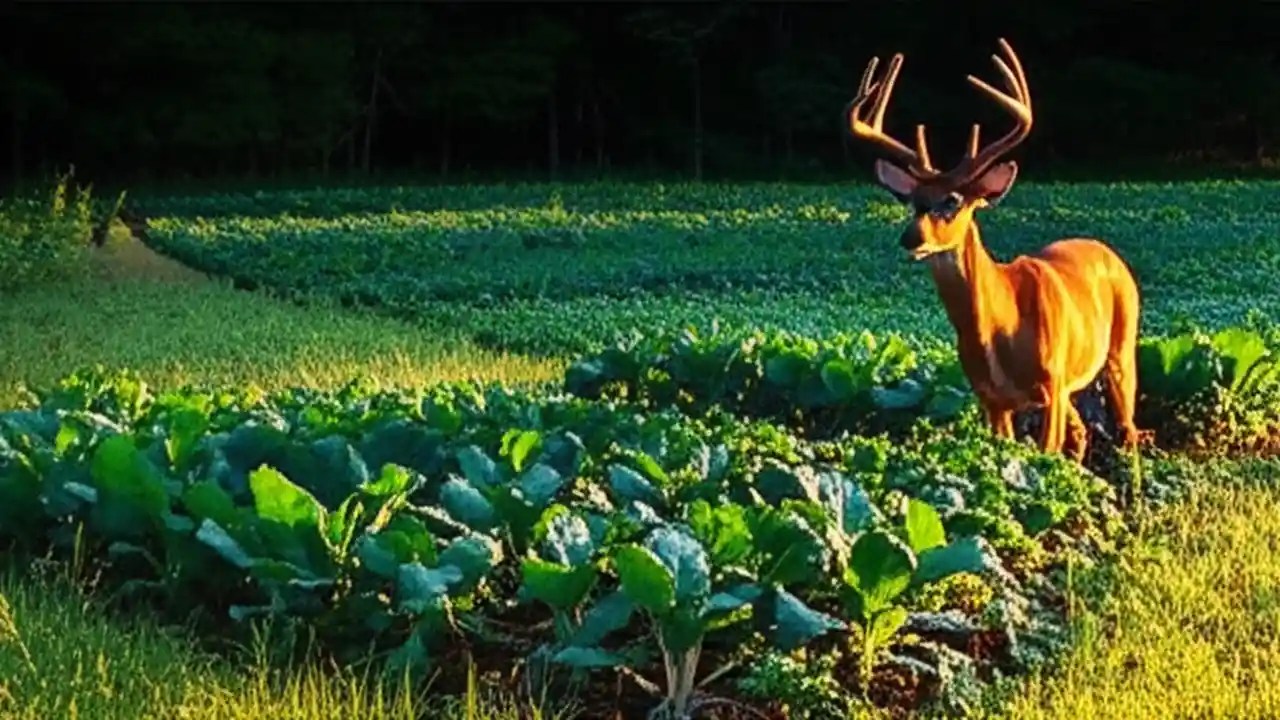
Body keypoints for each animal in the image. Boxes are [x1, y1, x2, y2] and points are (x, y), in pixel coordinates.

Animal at [844, 38, 1143, 461]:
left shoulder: (1051, 381)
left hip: (1120, 346)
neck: (1002, 323)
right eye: (913, 202)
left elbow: (1045, 454)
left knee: (1128, 431)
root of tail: (1108, 253)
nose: (910, 238)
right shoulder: (991, 399)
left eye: (951, 201)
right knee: (1083, 431)